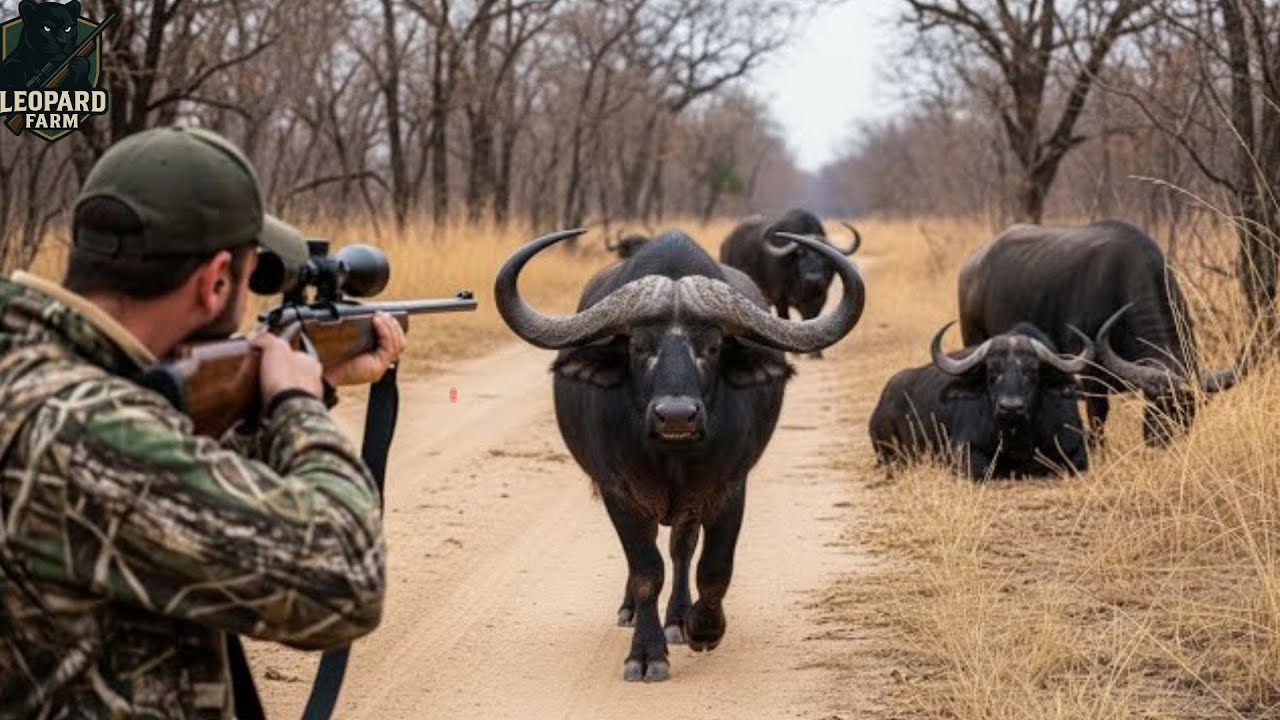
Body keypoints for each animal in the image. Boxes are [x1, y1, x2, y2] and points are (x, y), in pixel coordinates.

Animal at [495, 228, 865, 682]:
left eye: (712, 346)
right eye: (638, 346)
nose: (675, 415)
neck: (671, 456)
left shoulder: (728, 487)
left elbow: (713, 567)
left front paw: (702, 628)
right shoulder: (618, 490)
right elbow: (645, 570)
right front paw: (646, 654)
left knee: (682, 550)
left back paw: (677, 618)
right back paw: (634, 612)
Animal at [719, 208, 861, 358]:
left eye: (825, 259)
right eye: (801, 254)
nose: (814, 279)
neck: (802, 288)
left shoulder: (820, 299)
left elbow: (812, 320)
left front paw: (816, 354)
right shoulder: (780, 299)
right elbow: (786, 319)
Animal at [868, 318, 1107, 479]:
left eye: (1032, 371)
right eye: (992, 371)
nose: (1010, 407)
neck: (1017, 435)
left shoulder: (1077, 451)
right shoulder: (964, 451)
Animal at [957, 220, 1243, 445]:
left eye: (1189, 408)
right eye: (1157, 403)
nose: (1163, 442)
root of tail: (972, 265)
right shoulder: (1090, 377)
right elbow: (1098, 418)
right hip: (974, 338)